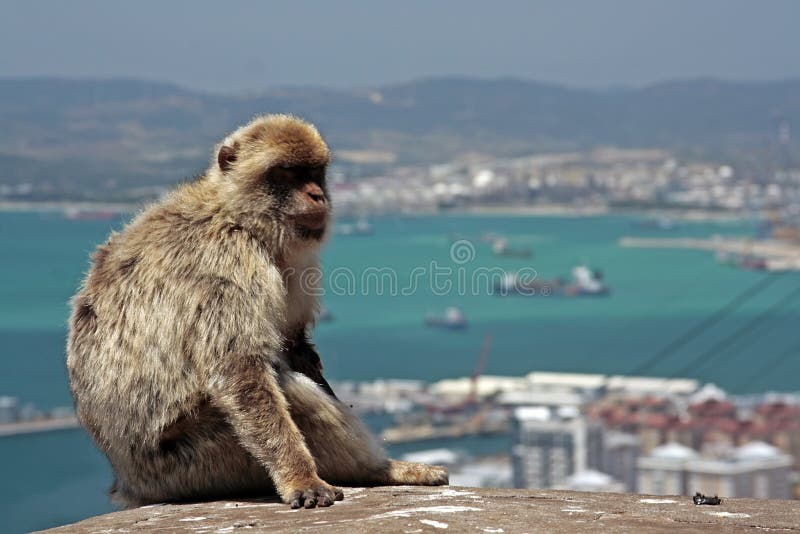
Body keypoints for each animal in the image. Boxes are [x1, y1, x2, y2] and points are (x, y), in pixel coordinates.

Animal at [66, 114, 448, 510]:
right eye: (286, 173)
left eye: (315, 172)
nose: (317, 195)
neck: (236, 214)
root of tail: (131, 484)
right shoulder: (229, 261)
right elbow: (240, 370)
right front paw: (300, 478)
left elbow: (293, 345)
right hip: (201, 462)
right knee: (283, 386)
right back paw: (374, 470)